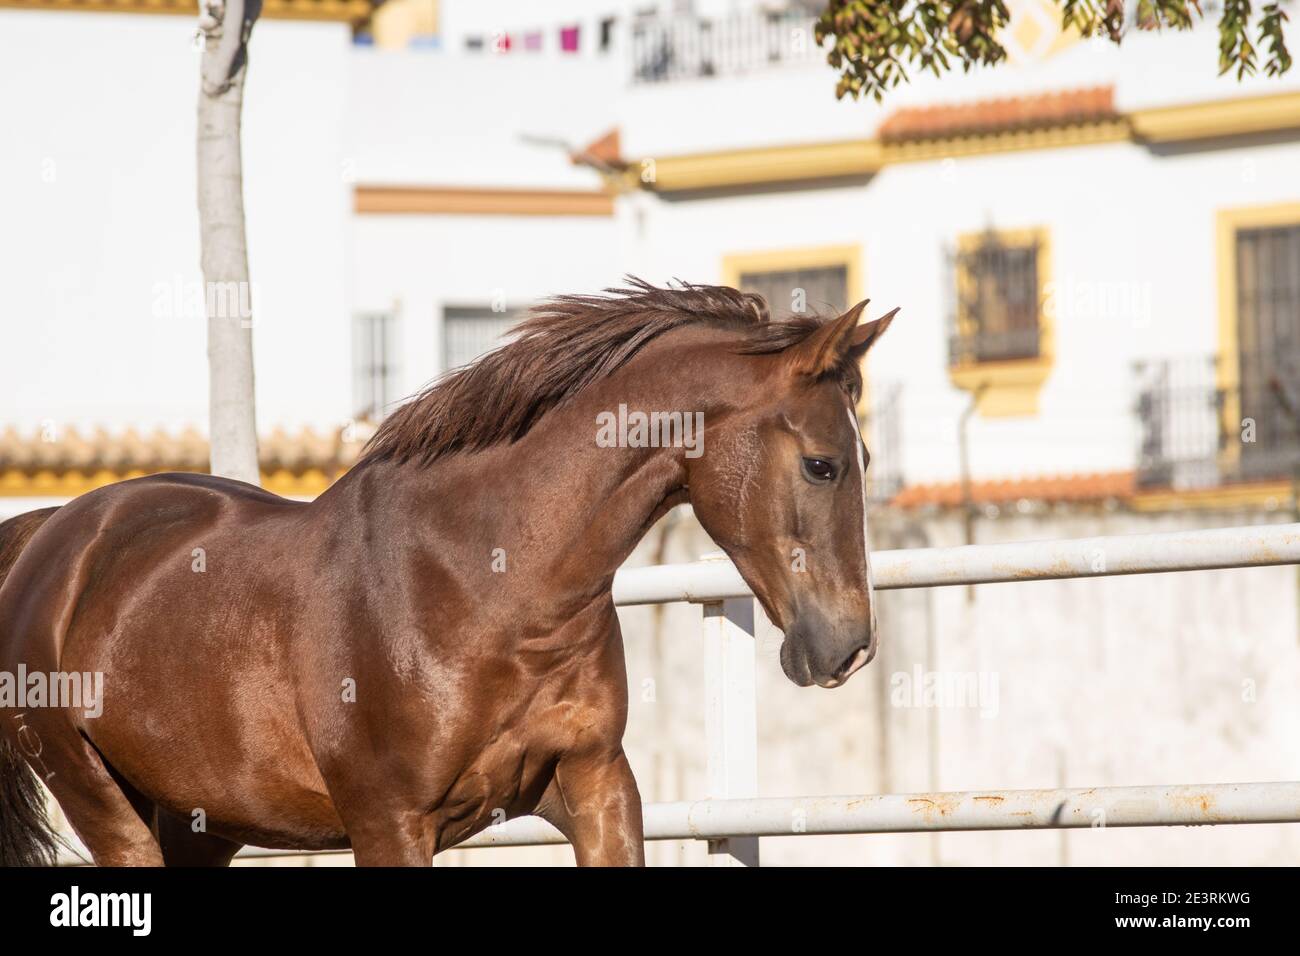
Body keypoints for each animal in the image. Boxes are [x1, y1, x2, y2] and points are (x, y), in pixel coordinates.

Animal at [0, 280, 895, 867]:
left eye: (864, 458)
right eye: (821, 465)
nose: (848, 647)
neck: (484, 585)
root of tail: (54, 536)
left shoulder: (596, 786)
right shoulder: (390, 823)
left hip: (203, 825)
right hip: (106, 807)